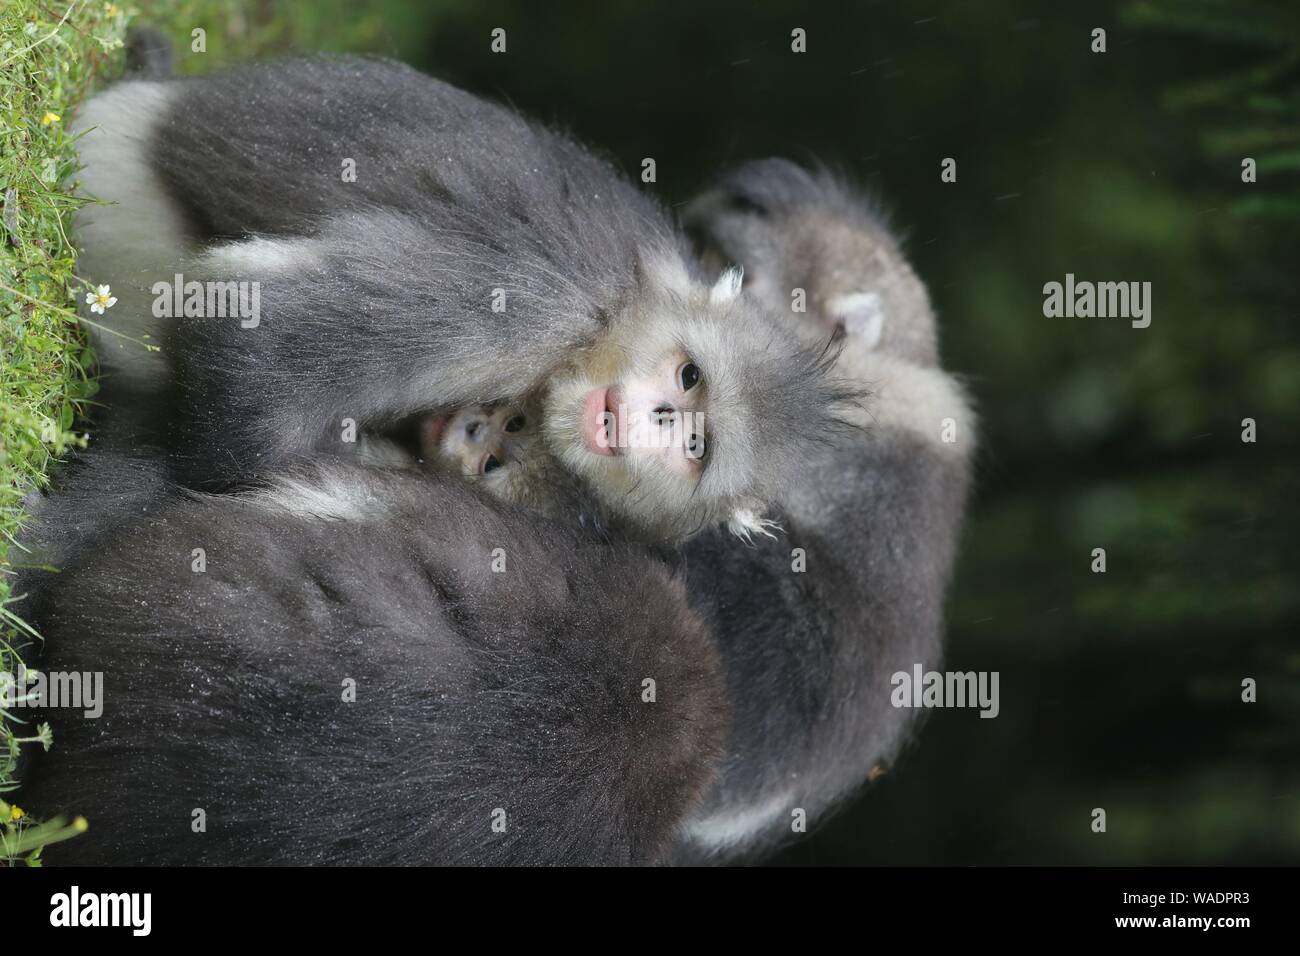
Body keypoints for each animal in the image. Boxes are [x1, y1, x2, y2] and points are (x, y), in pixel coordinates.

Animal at [71, 57, 859, 544]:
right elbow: (253, 337)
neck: (625, 306)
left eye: (696, 446)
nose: (662, 414)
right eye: (689, 376)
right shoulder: (552, 301)